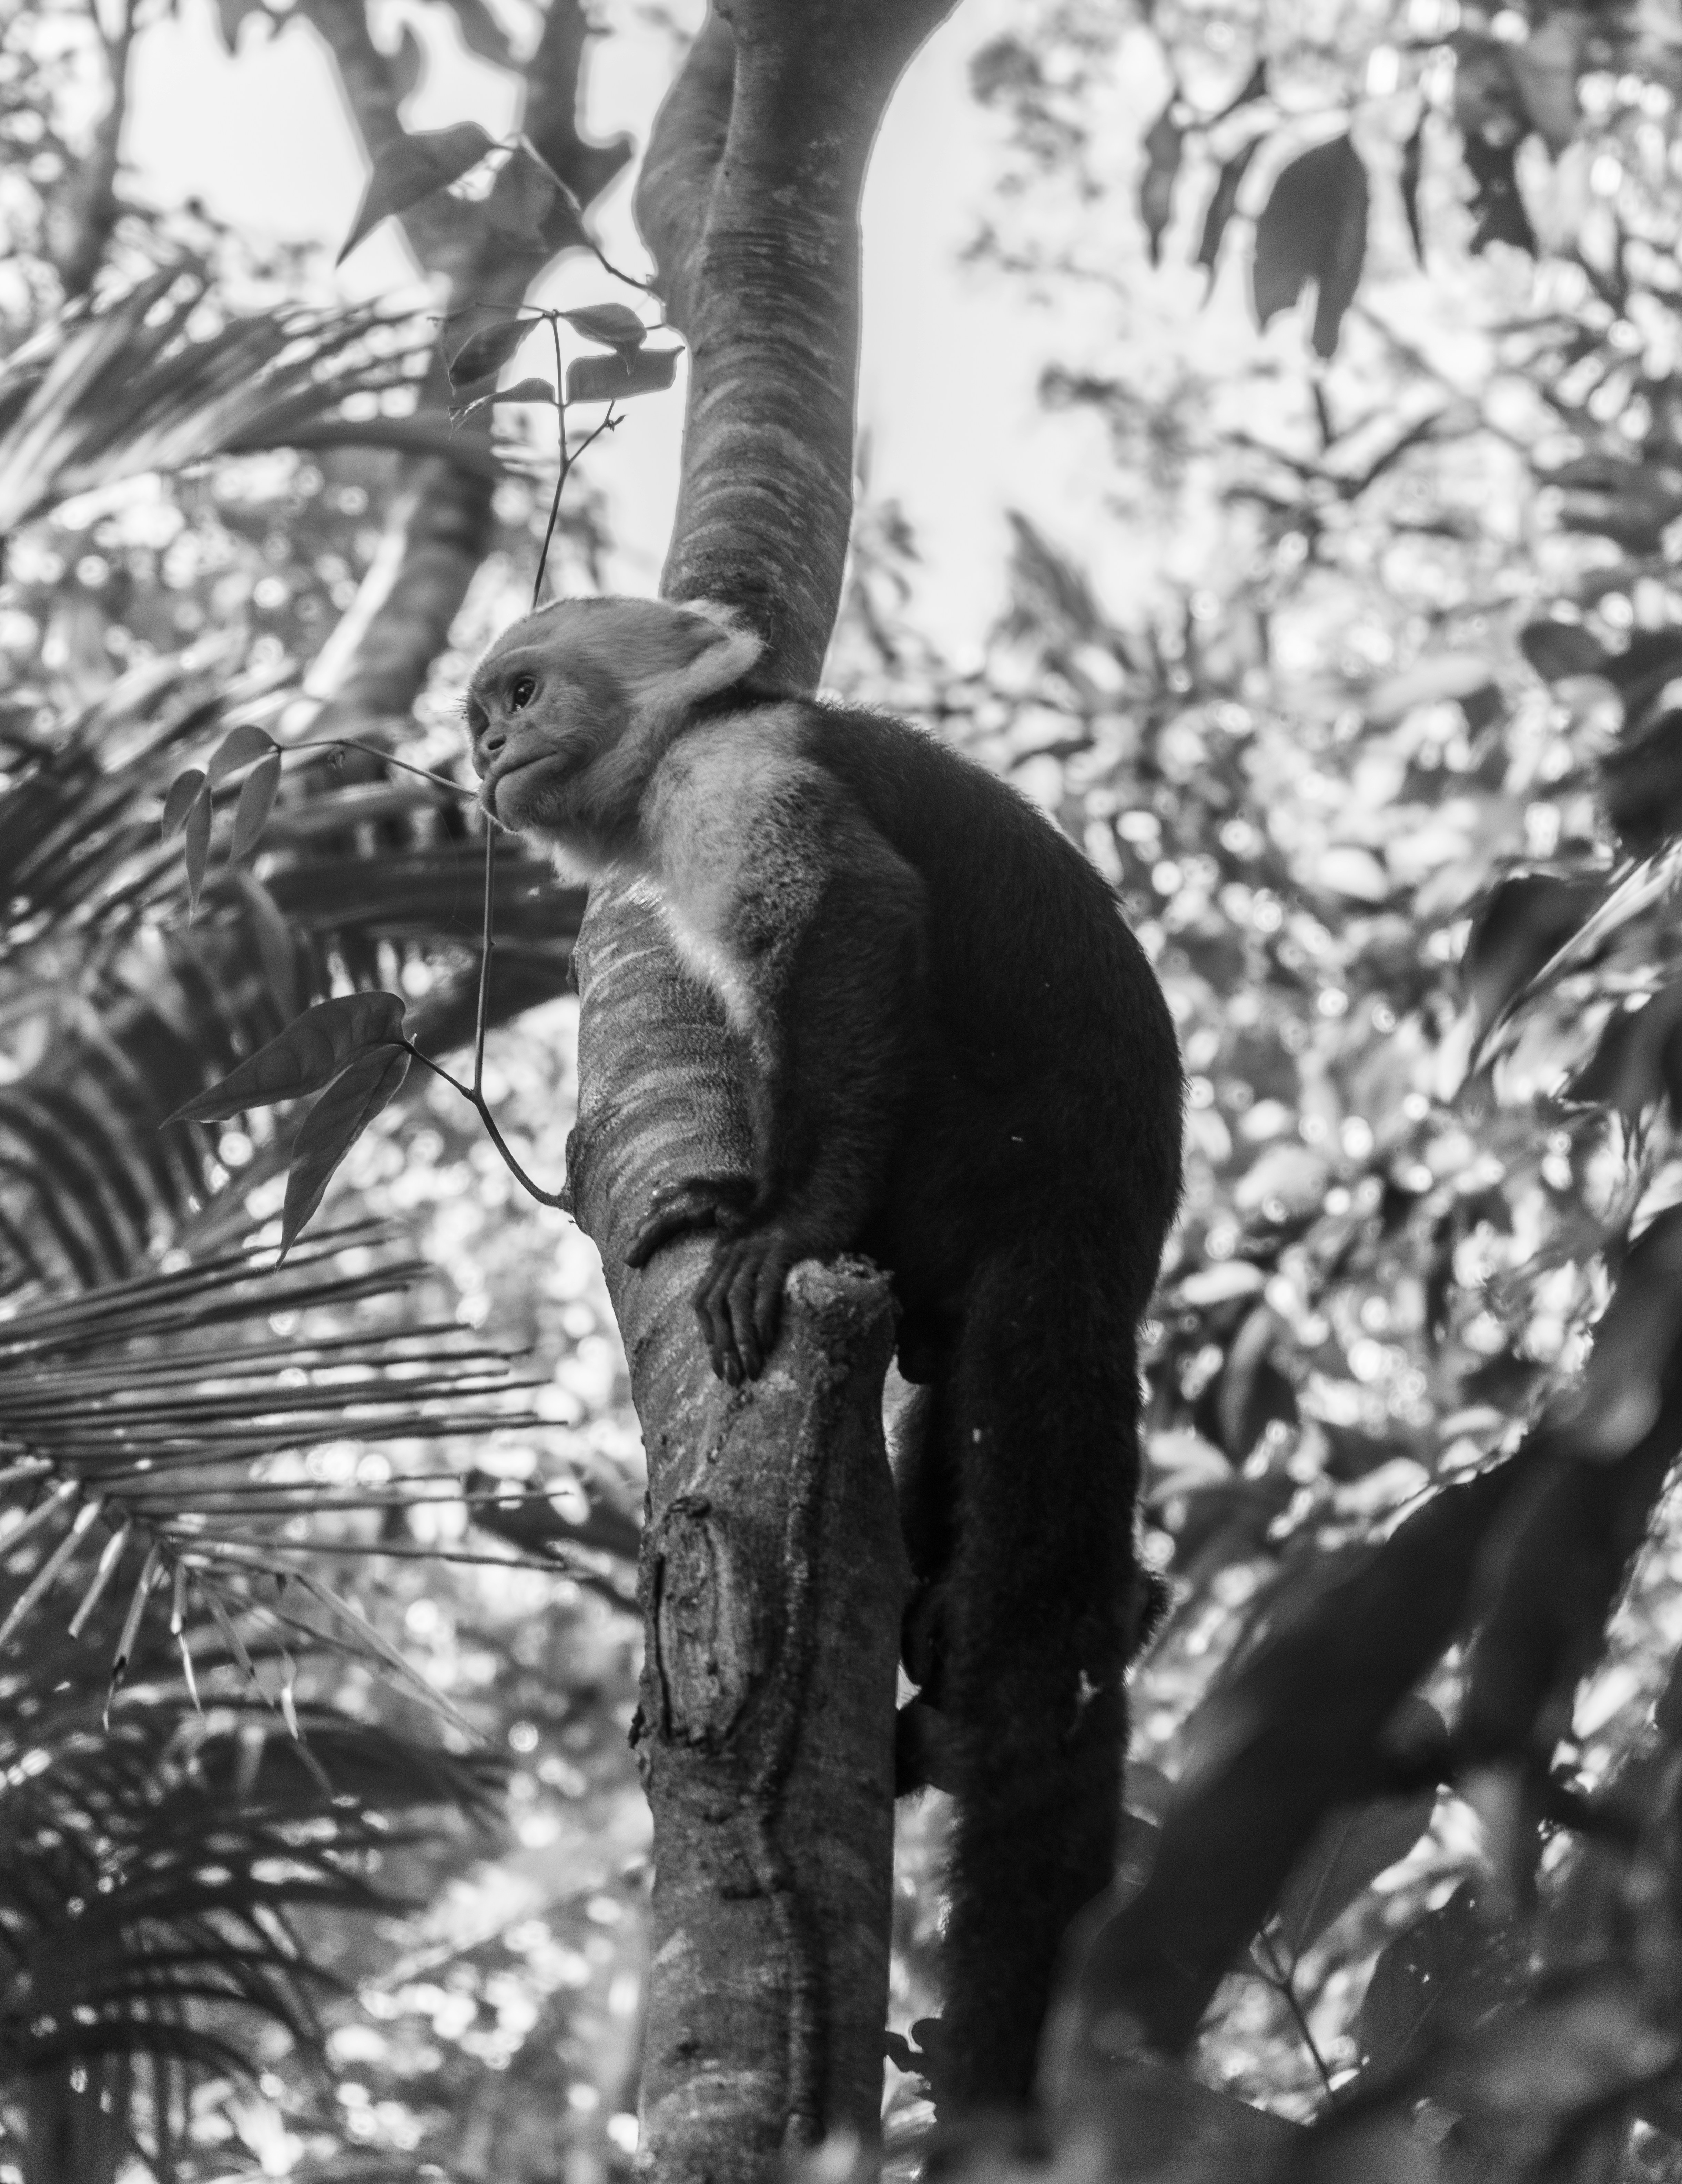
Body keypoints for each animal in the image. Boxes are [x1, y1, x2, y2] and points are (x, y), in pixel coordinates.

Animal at [465, 595, 1183, 2116]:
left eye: (521, 693)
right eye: (477, 717)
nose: (488, 749)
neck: (692, 730)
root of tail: (1097, 1230)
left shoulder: (736, 779)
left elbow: (855, 916)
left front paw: (780, 1220)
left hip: (989, 1169)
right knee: (961, 1403)